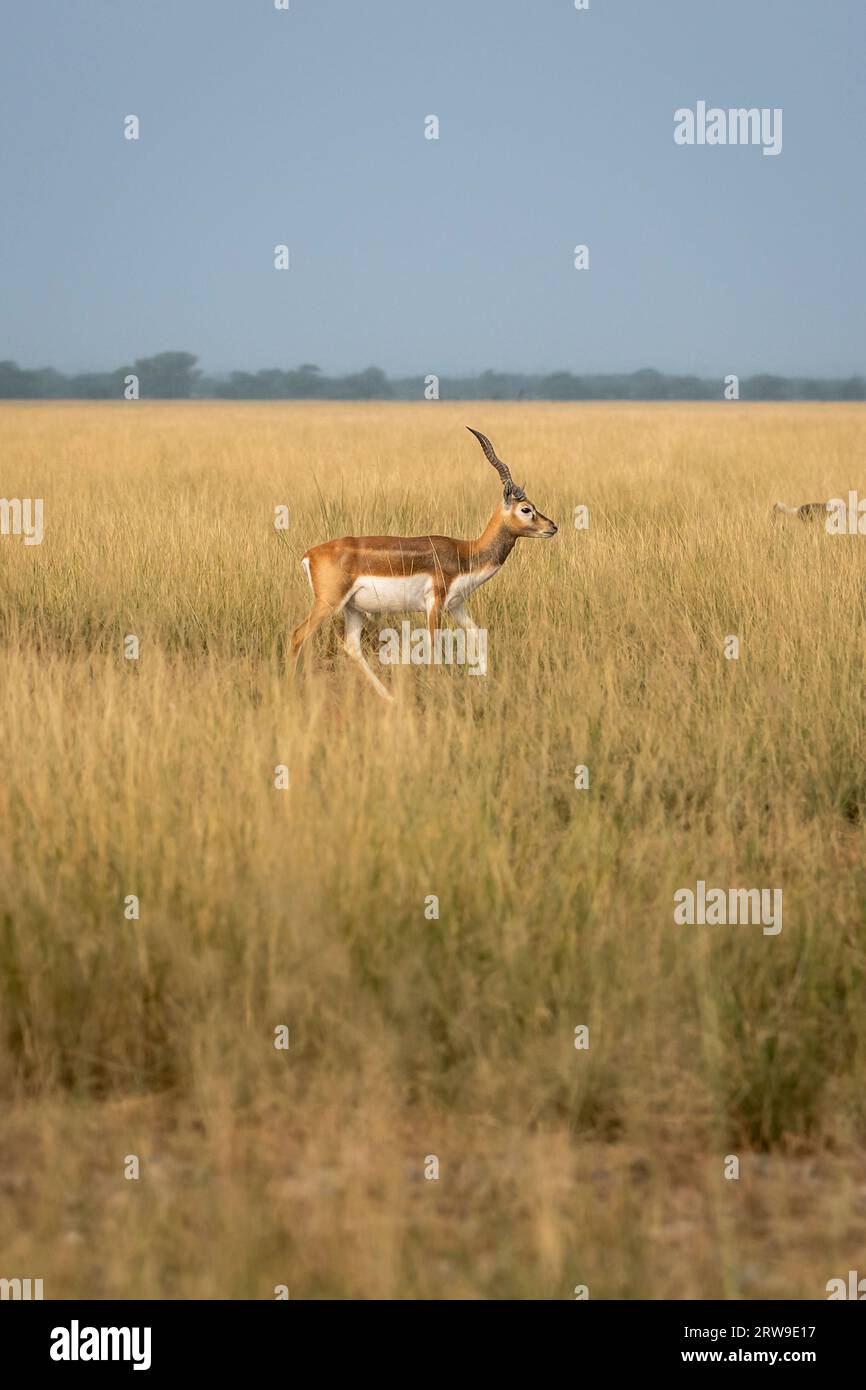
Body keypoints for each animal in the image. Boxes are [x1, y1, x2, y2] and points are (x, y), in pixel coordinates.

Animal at [291, 427, 558, 699]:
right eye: (526, 509)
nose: (552, 527)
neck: (465, 553)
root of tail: (309, 555)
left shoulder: (456, 605)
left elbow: (478, 635)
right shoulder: (434, 604)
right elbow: (433, 648)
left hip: (352, 608)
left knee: (352, 648)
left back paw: (390, 698)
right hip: (328, 603)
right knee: (297, 636)